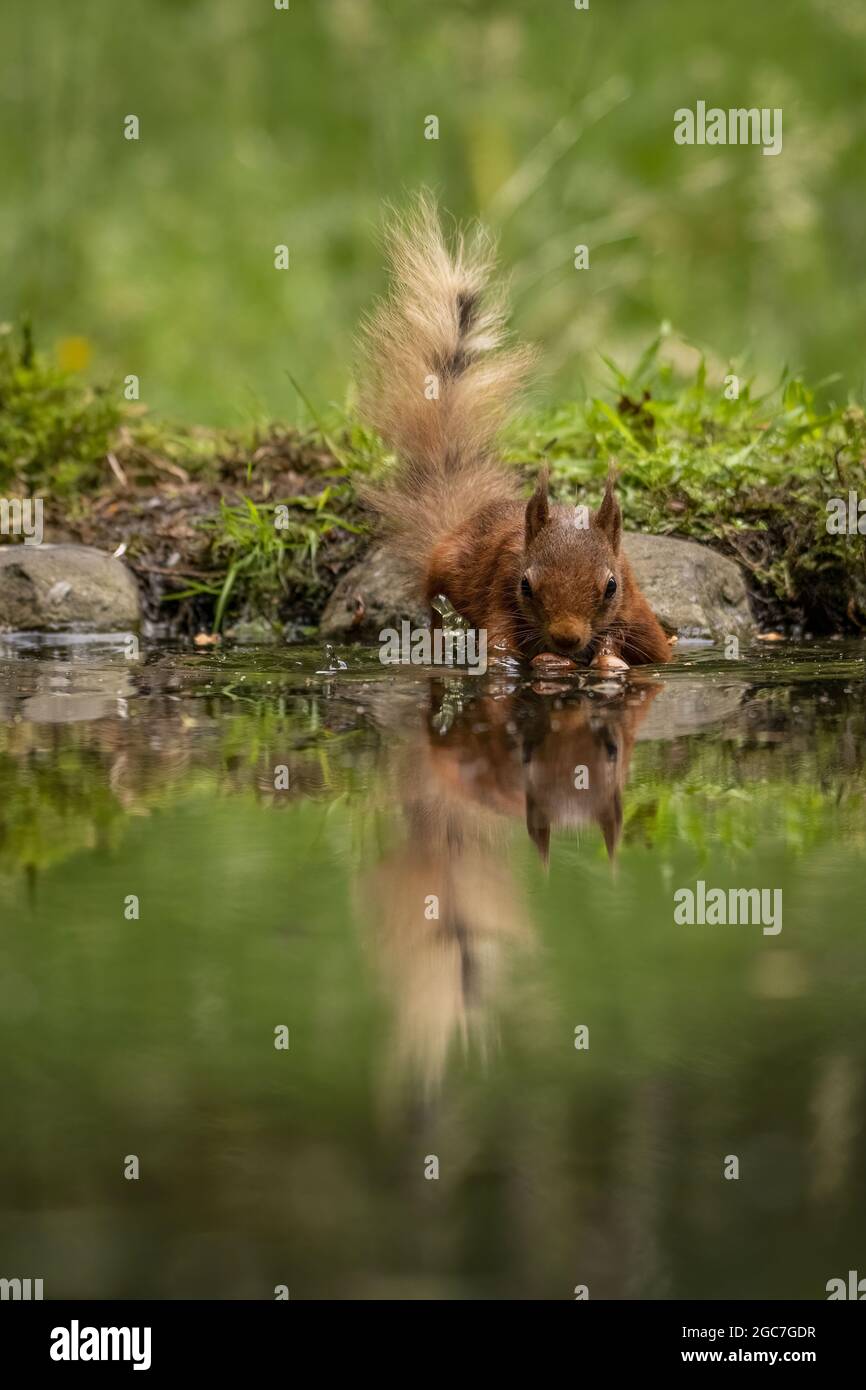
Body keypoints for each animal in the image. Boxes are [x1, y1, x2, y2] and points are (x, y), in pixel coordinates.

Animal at [358, 195, 672, 671]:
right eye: (526, 585)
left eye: (611, 586)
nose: (565, 638)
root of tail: (462, 522)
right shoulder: (501, 593)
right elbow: (500, 655)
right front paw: (549, 662)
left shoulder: (636, 610)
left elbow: (654, 654)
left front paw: (608, 659)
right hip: (442, 586)